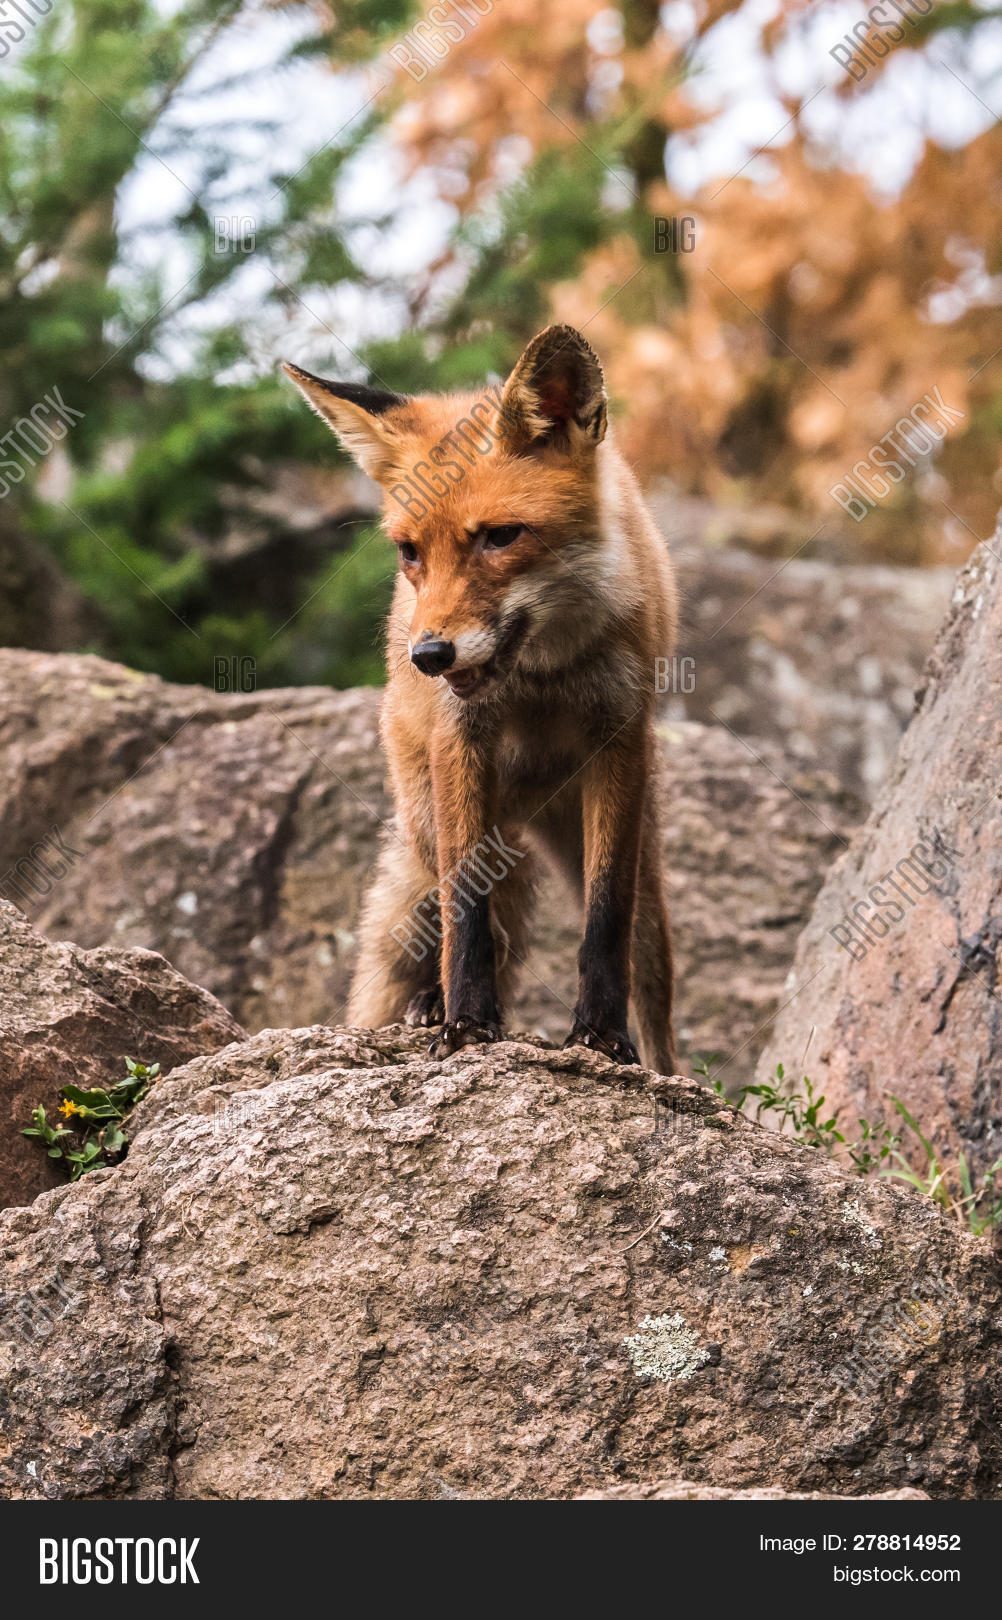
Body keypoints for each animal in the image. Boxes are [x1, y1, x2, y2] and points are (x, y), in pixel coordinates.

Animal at [283, 324, 678, 1071]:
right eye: (409, 552)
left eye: (500, 537)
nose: (429, 657)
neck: (543, 676)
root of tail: (527, 800)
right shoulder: (459, 739)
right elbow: (467, 908)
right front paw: (466, 1023)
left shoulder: (617, 739)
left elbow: (604, 919)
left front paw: (601, 1035)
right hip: (426, 821)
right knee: (456, 916)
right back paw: (430, 1003)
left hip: (635, 862)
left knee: (650, 974)